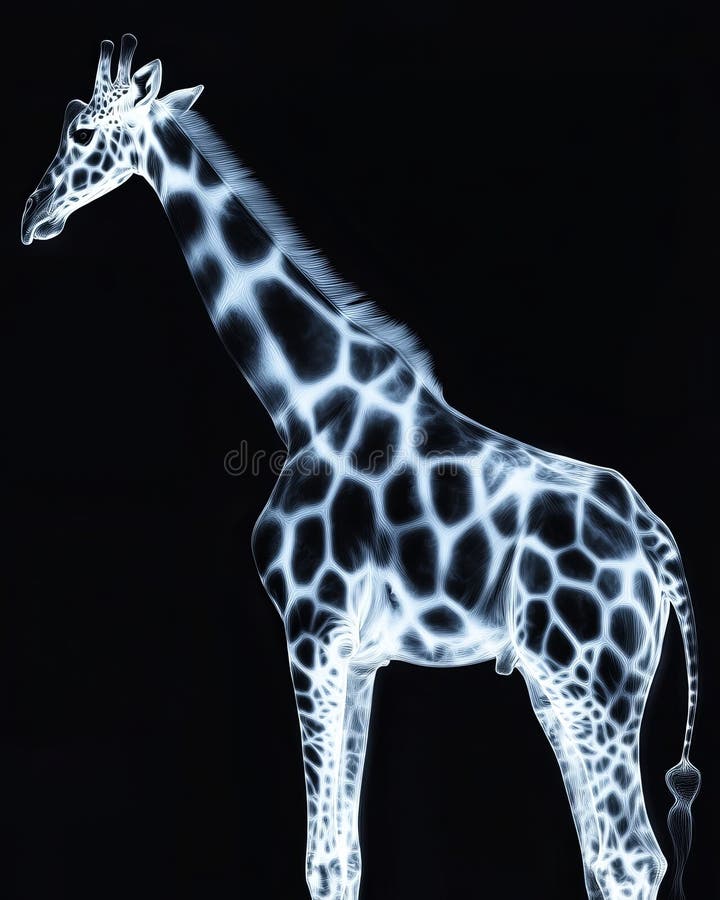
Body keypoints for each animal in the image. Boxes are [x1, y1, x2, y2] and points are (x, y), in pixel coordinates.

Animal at [21, 35, 701, 900]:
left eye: (80, 134)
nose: (31, 218)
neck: (304, 399)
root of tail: (654, 538)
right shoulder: (361, 653)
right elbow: (344, 858)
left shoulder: (312, 625)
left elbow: (320, 858)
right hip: (563, 689)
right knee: (607, 854)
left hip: (595, 685)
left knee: (630, 856)